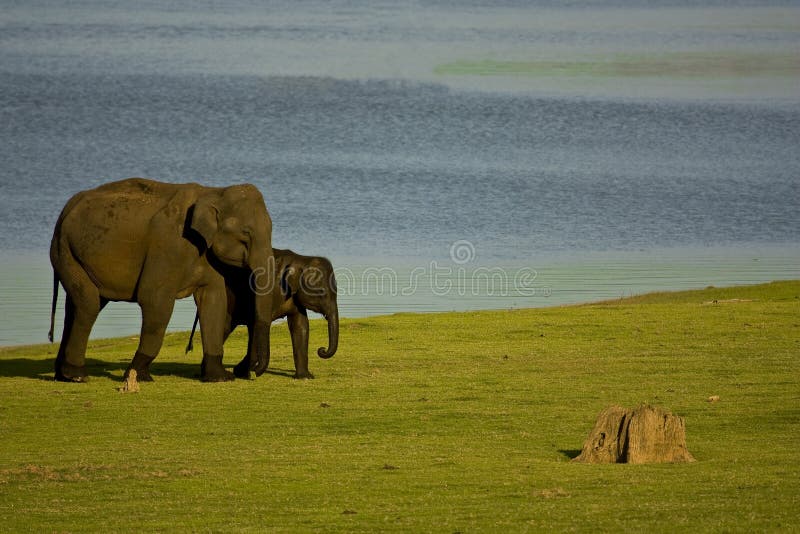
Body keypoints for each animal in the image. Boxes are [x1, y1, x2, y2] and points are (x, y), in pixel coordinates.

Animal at [48, 177, 276, 383]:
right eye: (246, 234)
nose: (252, 372)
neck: (213, 192)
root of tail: (67, 207)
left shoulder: (209, 256)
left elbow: (214, 302)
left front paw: (220, 377)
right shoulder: (169, 247)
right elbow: (156, 302)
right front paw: (139, 376)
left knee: (77, 307)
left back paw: (63, 375)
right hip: (64, 250)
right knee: (88, 305)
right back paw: (77, 375)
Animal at [185, 248, 338, 379]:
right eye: (321, 293)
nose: (321, 350)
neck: (301, 259)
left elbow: (300, 325)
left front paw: (305, 377)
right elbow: (260, 324)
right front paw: (247, 371)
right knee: (223, 327)